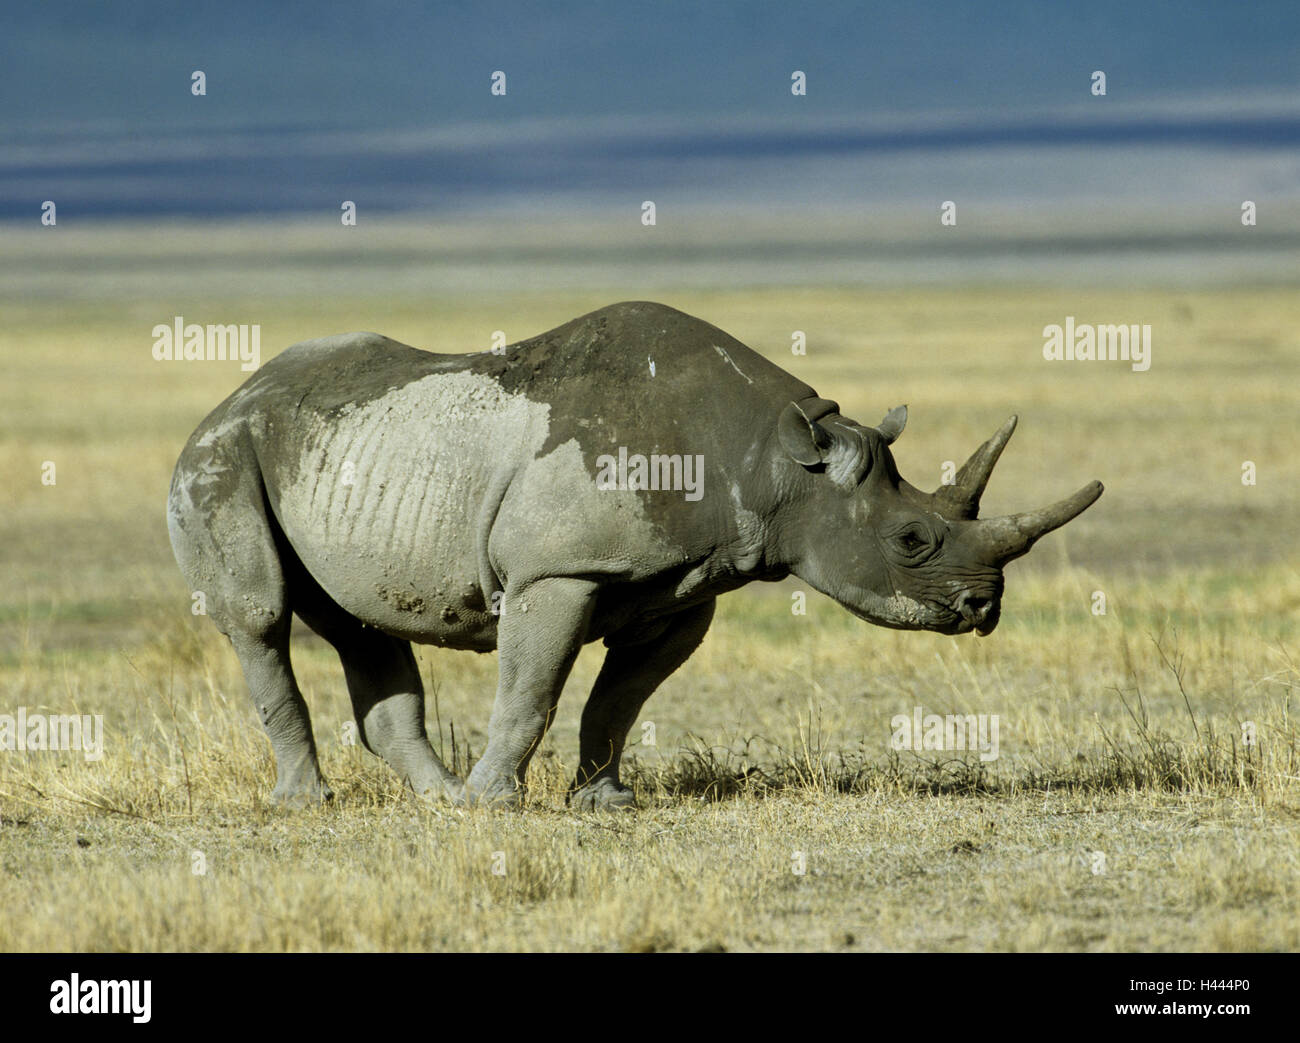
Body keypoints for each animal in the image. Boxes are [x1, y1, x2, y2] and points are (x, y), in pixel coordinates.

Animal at [167, 301, 1101, 810]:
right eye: (911, 540)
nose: (985, 607)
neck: (776, 461)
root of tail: (230, 396)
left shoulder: (688, 585)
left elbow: (619, 699)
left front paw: (602, 801)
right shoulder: (557, 568)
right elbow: (531, 693)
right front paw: (495, 805)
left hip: (328, 450)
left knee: (363, 625)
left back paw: (435, 797)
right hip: (219, 457)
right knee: (260, 617)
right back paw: (315, 801)